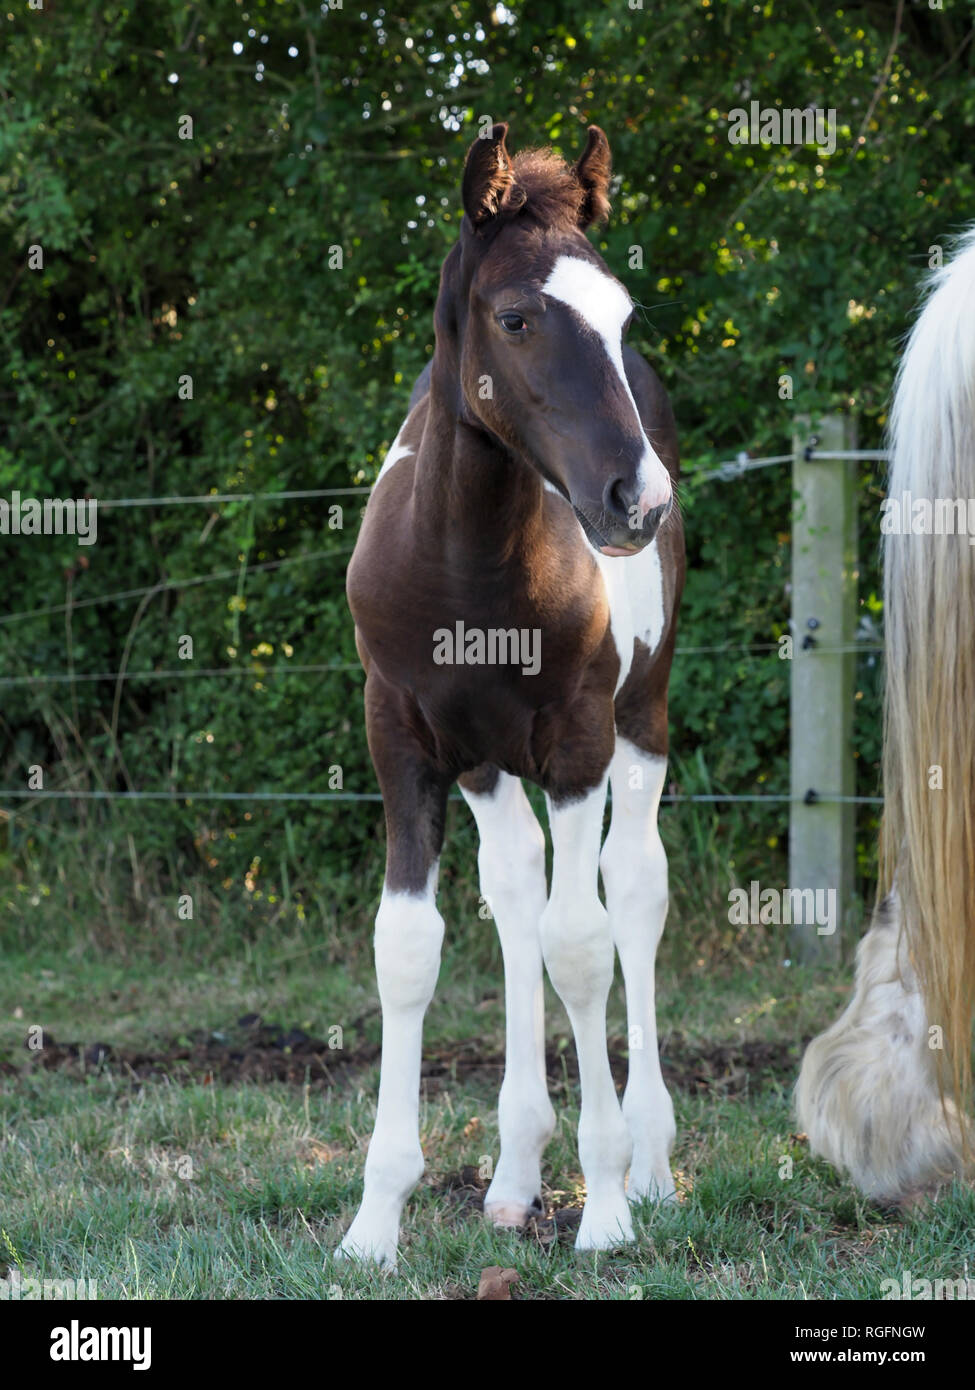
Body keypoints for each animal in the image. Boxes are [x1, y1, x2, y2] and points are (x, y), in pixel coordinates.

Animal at [340, 122, 684, 1267]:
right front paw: (373, 1222)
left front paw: (609, 1205)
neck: (465, 563)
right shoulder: (404, 744)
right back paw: (515, 1172)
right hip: (489, 762)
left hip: (640, 722)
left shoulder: (579, 741)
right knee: (518, 886)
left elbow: (584, 944)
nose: (638, 500)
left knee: (632, 889)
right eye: (517, 317)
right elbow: (409, 950)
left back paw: (653, 1162)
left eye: (621, 316)